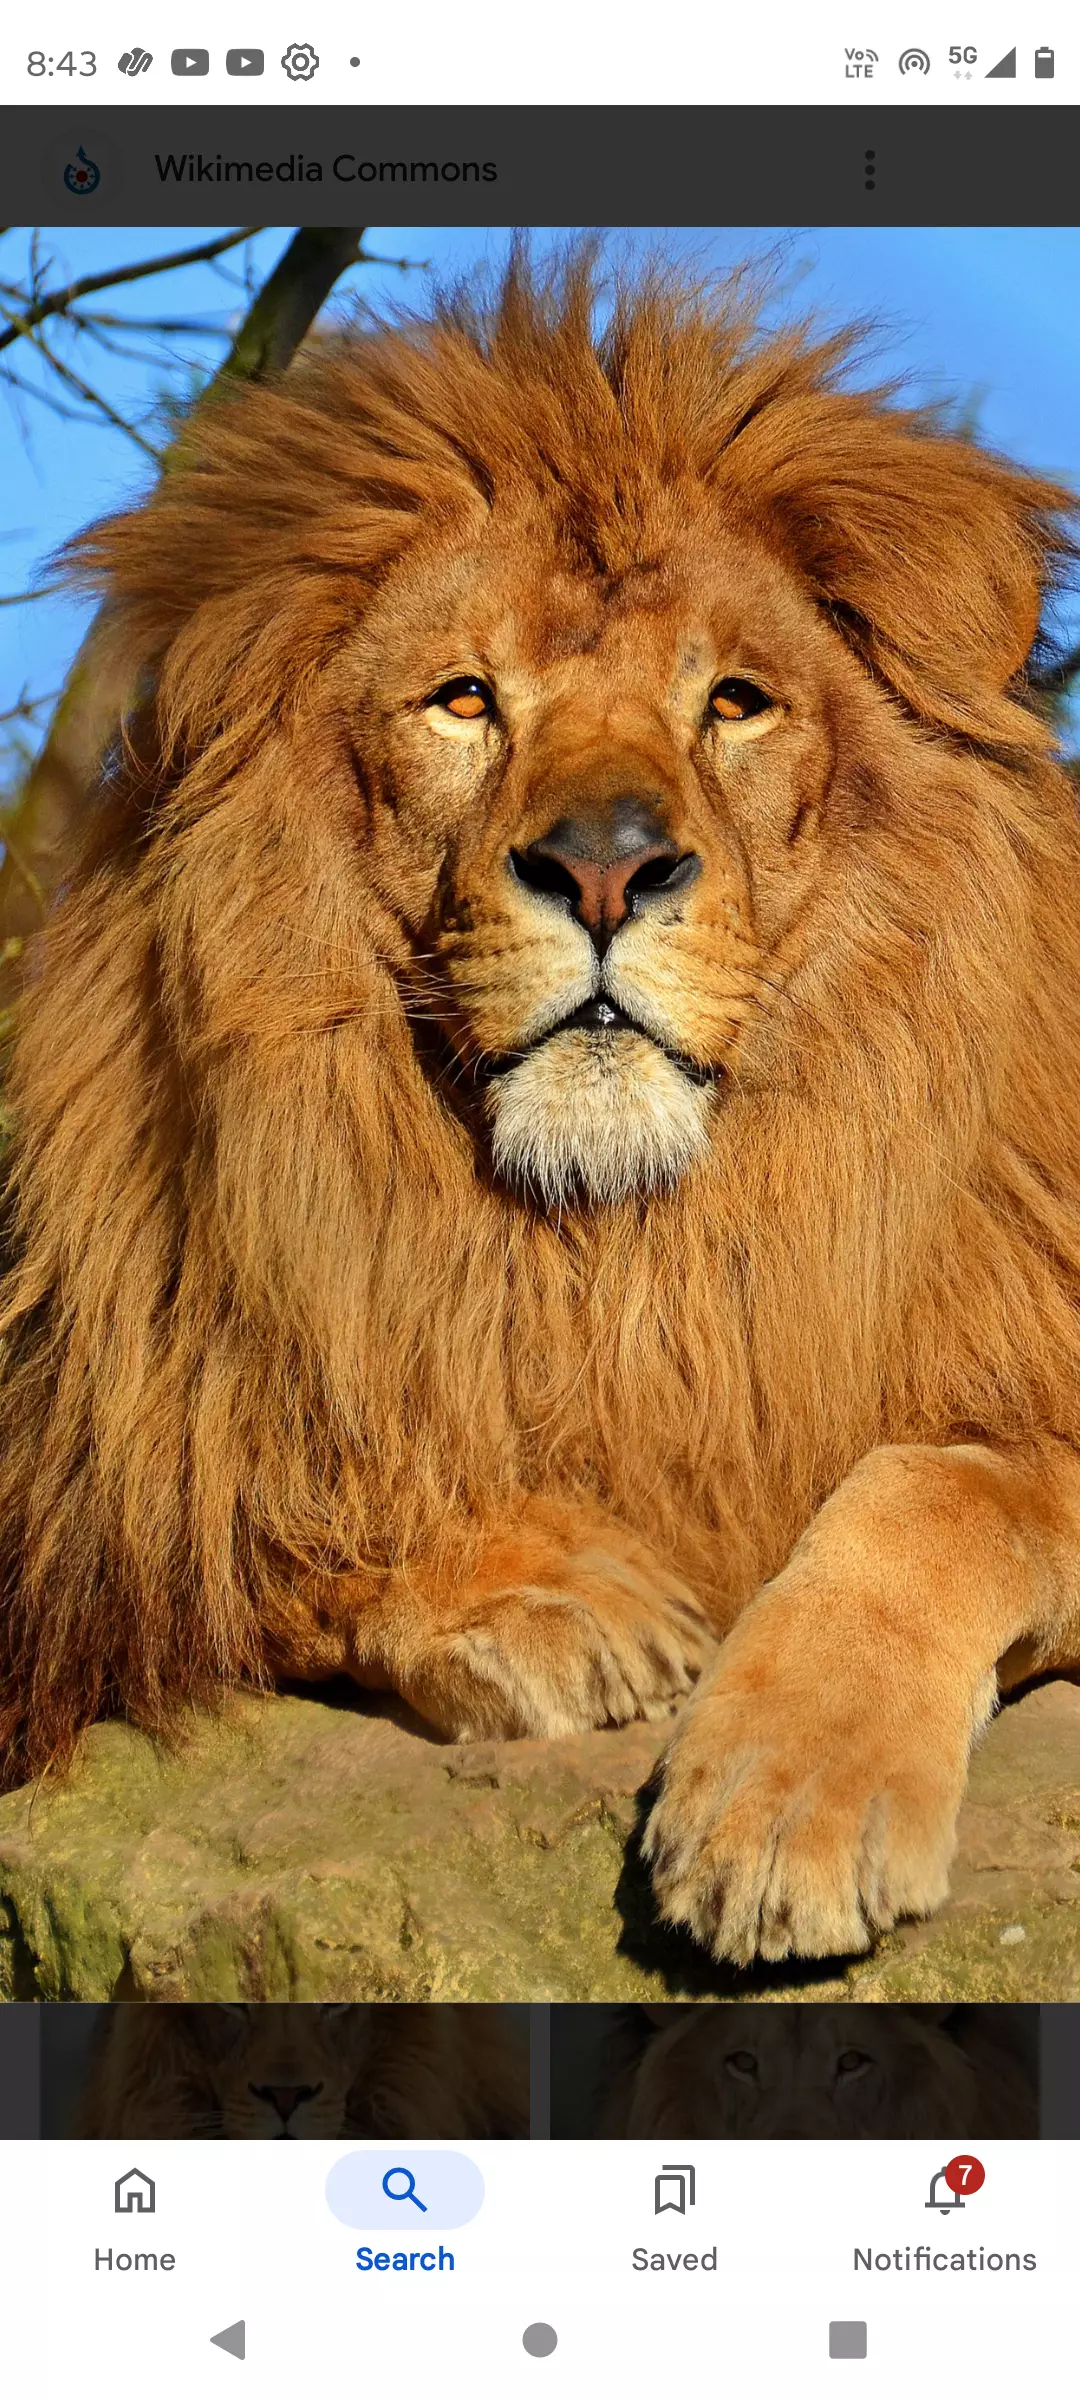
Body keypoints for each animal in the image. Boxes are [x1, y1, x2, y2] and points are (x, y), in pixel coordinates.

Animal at [3, 248, 1080, 1972]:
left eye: (734, 702)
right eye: (463, 701)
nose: (604, 866)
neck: (622, 1257)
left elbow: (949, 1483)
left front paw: (794, 1796)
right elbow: (248, 1504)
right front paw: (551, 1591)